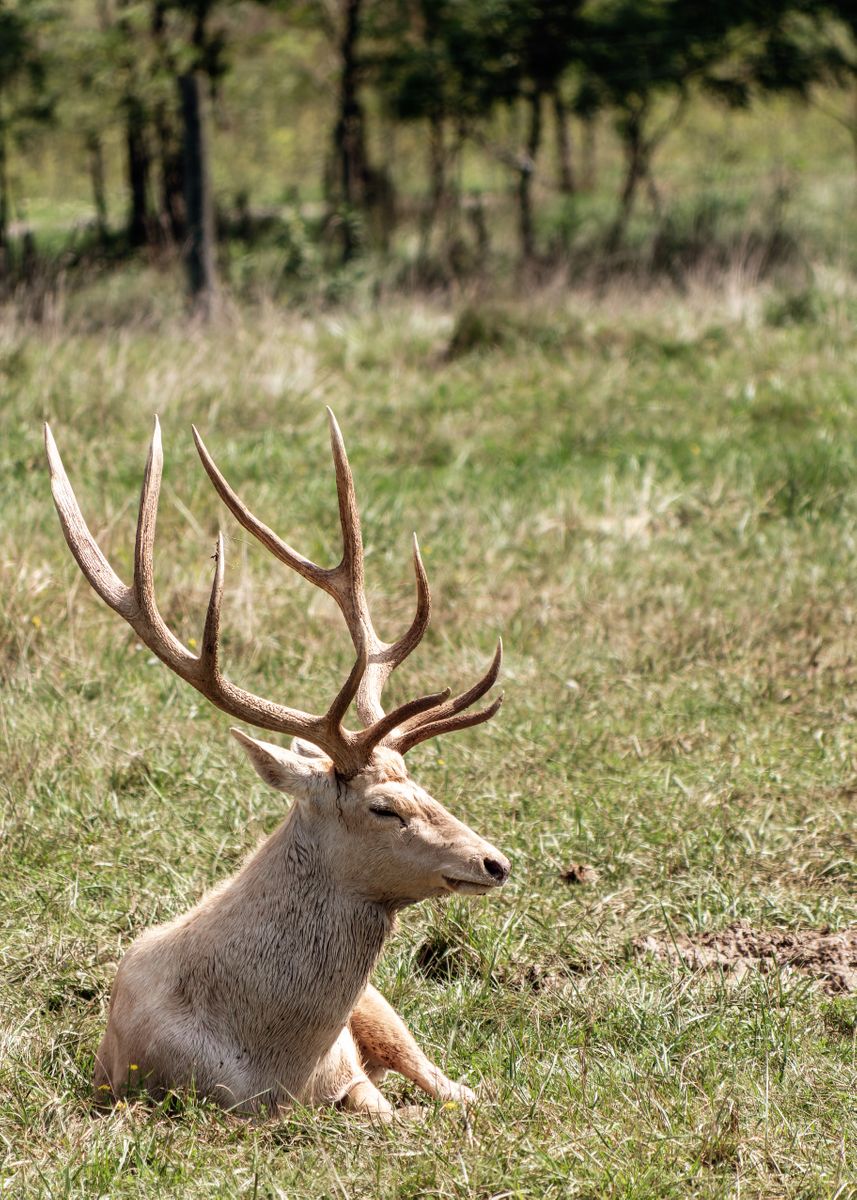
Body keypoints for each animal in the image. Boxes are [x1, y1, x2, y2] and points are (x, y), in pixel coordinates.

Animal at [45, 410, 509, 1120]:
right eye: (384, 808)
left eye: (426, 788)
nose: (495, 862)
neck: (280, 1067)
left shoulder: (351, 1074)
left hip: (383, 1010)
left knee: (449, 1083)